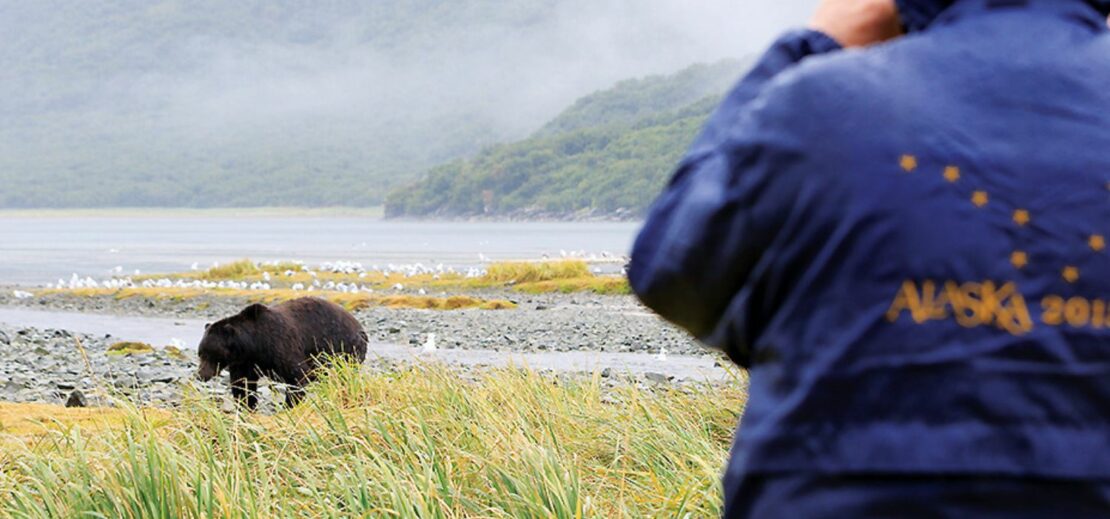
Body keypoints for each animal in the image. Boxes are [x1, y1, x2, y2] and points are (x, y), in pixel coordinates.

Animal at [196, 297, 368, 409]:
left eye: (210, 354)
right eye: (200, 353)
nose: (200, 375)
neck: (253, 344)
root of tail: (360, 327)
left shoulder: (279, 345)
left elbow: (298, 376)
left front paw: (289, 406)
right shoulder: (244, 362)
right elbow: (243, 385)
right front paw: (246, 406)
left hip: (343, 350)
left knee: (343, 376)